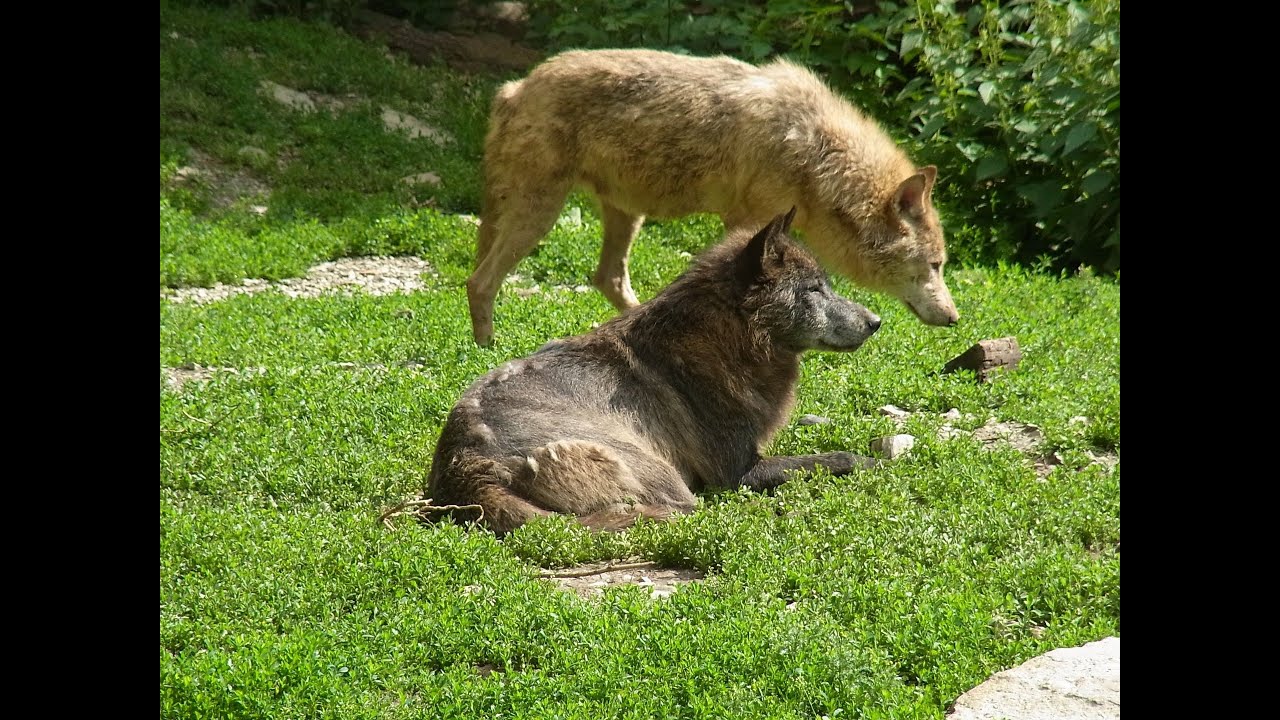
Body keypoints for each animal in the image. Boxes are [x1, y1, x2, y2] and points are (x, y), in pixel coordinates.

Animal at [429, 209, 883, 535]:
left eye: (825, 284)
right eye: (813, 289)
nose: (876, 322)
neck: (730, 335)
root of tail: (463, 464)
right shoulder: (737, 472)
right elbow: (837, 456)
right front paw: (869, 462)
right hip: (656, 469)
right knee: (686, 510)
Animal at [467, 48, 959, 346]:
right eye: (935, 265)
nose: (955, 318)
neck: (816, 156)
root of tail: (514, 87)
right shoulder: (748, 224)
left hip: (621, 214)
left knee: (606, 278)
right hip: (541, 214)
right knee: (480, 281)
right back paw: (487, 350)